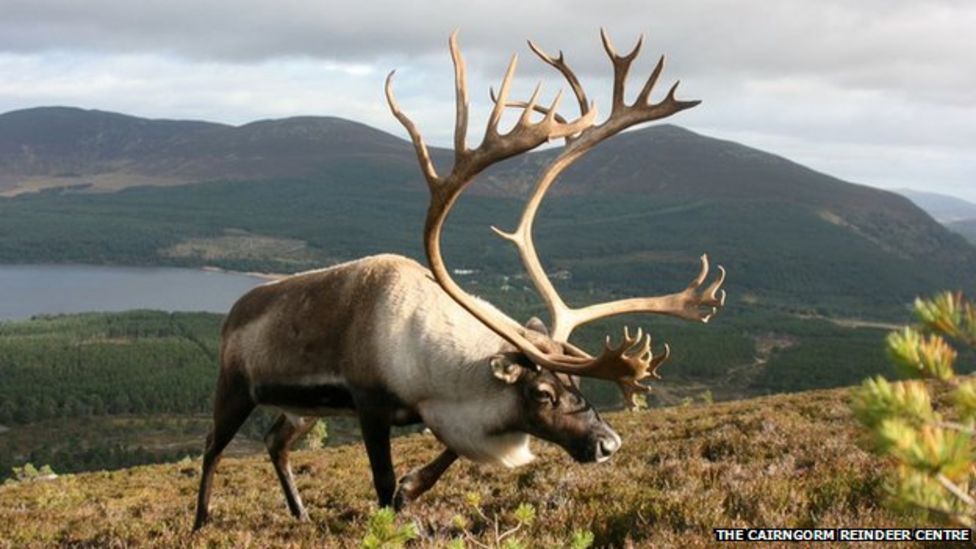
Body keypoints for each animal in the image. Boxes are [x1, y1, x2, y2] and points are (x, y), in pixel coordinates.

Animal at [192, 30, 726, 530]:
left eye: (576, 382)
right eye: (542, 394)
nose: (608, 443)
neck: (417, 354)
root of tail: (233, 311)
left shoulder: (439, 413)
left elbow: (443, 458)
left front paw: (413, 486)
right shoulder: (369, 405)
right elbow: (382, 482)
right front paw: (397, 508)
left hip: (302, 409)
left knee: (274, 441)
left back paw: (300, 514)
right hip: (234, 387)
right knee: (213, 446)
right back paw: (201, 521)